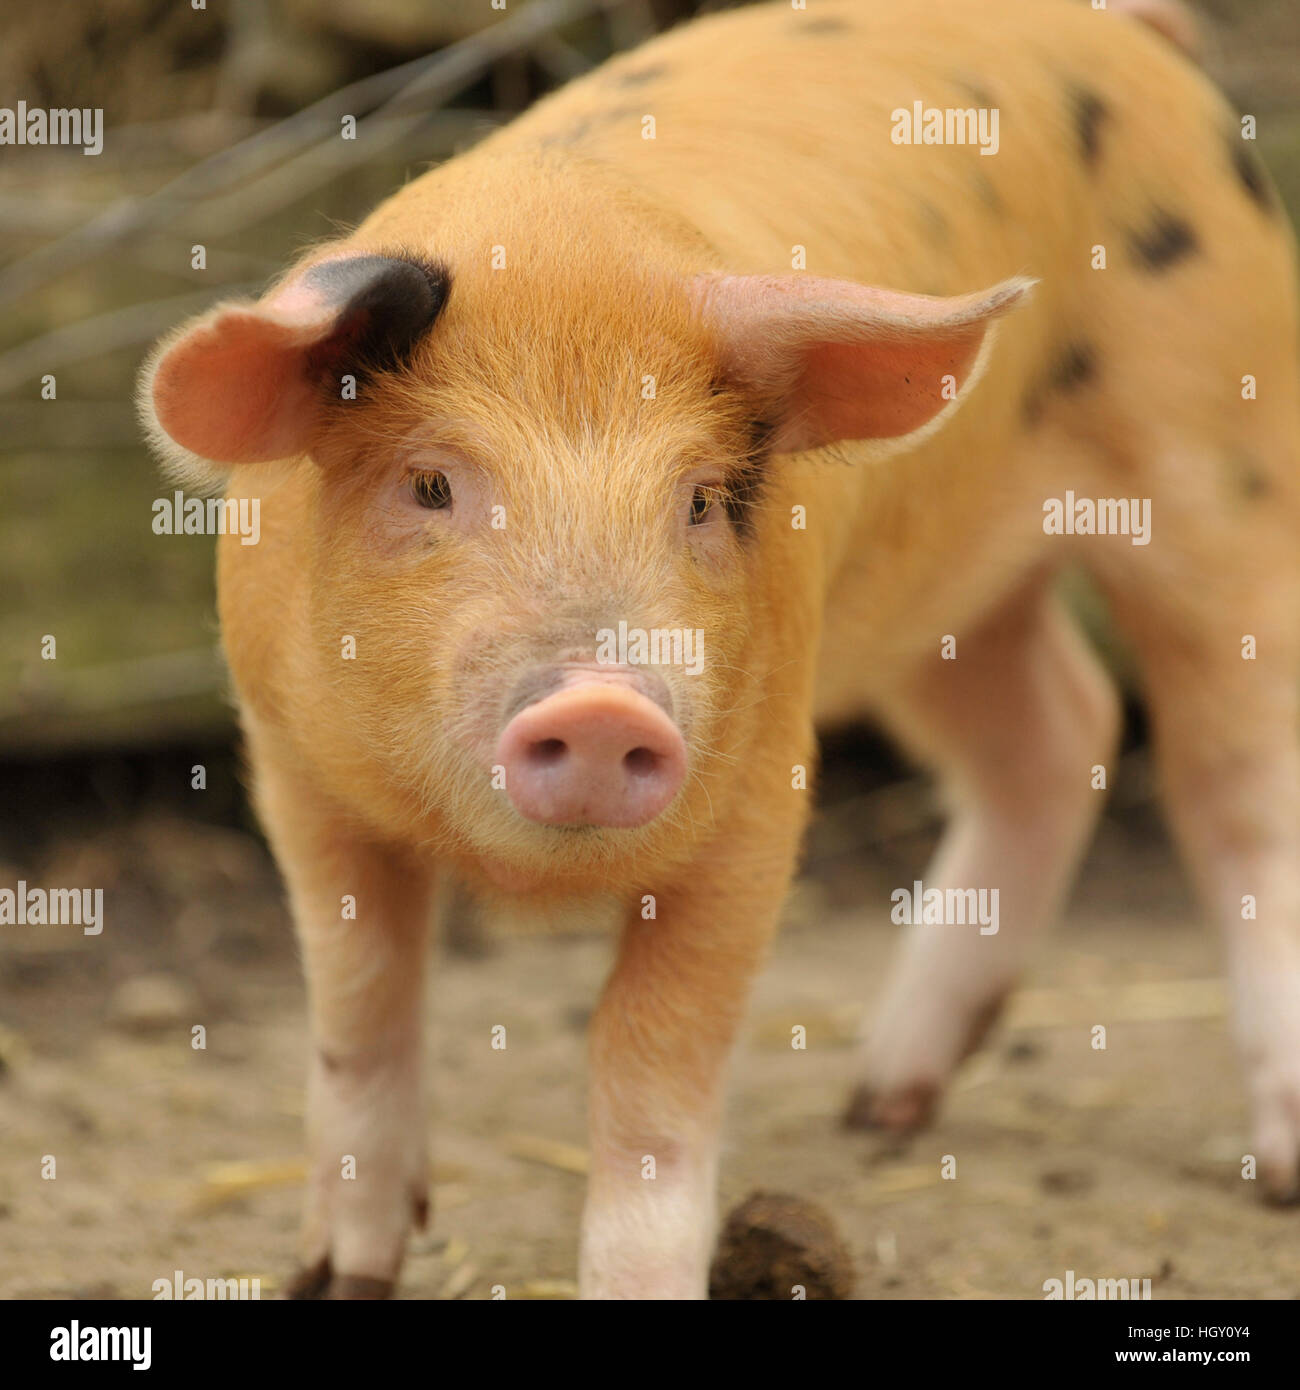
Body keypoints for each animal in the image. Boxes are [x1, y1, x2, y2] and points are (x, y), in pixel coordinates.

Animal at [139, 0, 1300, 1298]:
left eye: (699, 500)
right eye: (429, 483)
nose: (602, 706)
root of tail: (1127, 36)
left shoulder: (757, 793)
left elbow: (652, 1067)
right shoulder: (293, 768)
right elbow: (360, 1004)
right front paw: (339, 1275)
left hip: (1229, 471)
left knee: (1234, 787)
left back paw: (1277, 1172)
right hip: (939, 593)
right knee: (1057, 730)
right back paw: (878, 1103)